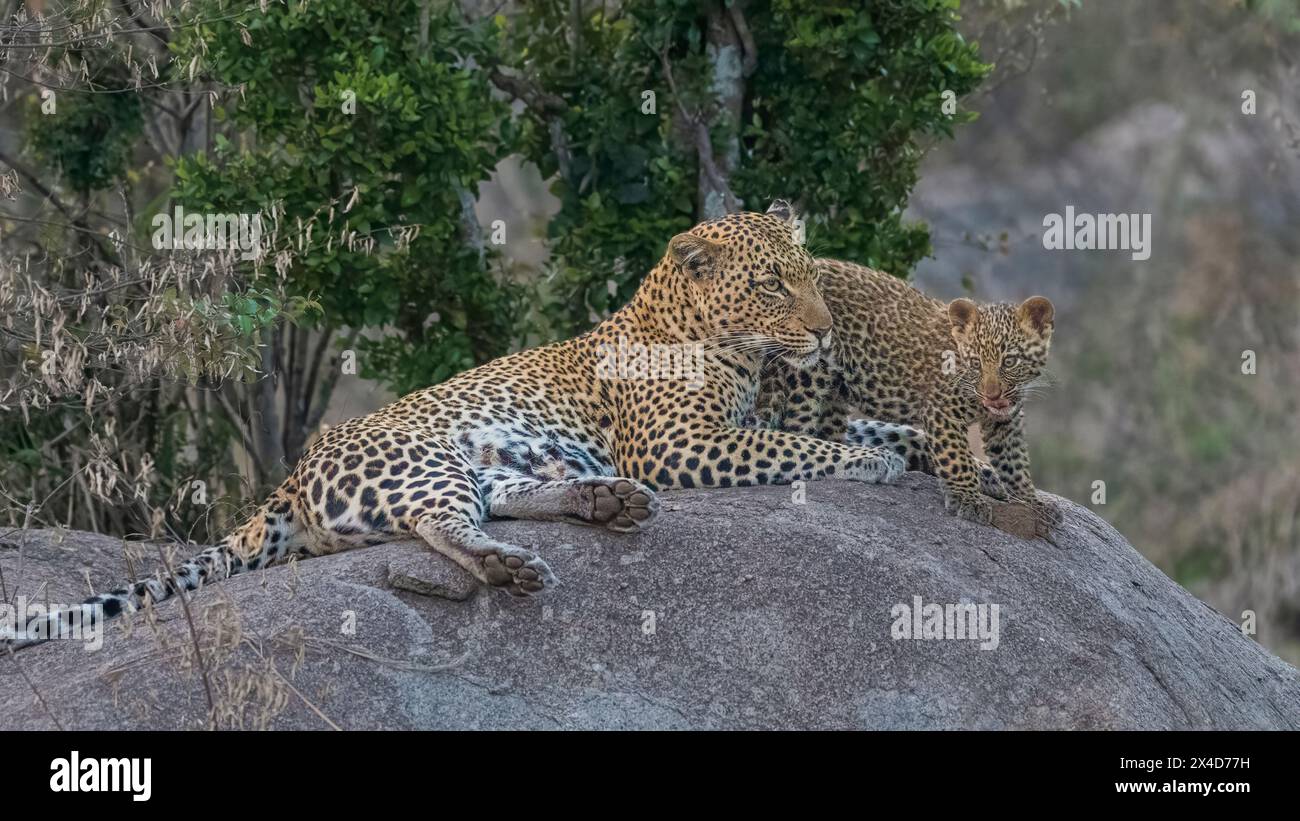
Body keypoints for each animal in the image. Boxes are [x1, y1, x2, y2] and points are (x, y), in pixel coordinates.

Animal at [4, 203, 906, 652]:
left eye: (809, 275)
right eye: (770, 285)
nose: (825, 330)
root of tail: (288, 479)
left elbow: (833, 427)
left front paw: (894, 444)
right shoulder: (681, 447)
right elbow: (794, 445)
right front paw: (872, 463)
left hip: (479, 460)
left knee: (501, 496)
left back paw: (603, 502)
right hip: (422, 459)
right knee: (443, 526)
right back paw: (514, 564)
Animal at [753, 257, 1059, 536]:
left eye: (1010, 362)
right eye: (975, 363)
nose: (992, 395)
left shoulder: (1006, 421)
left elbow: (1013, 461)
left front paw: (1031, 501)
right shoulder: (943, 410)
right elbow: (956, 457)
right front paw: (968, 499)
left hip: (835, 392)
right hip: (809, 373)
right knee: (796, 428)